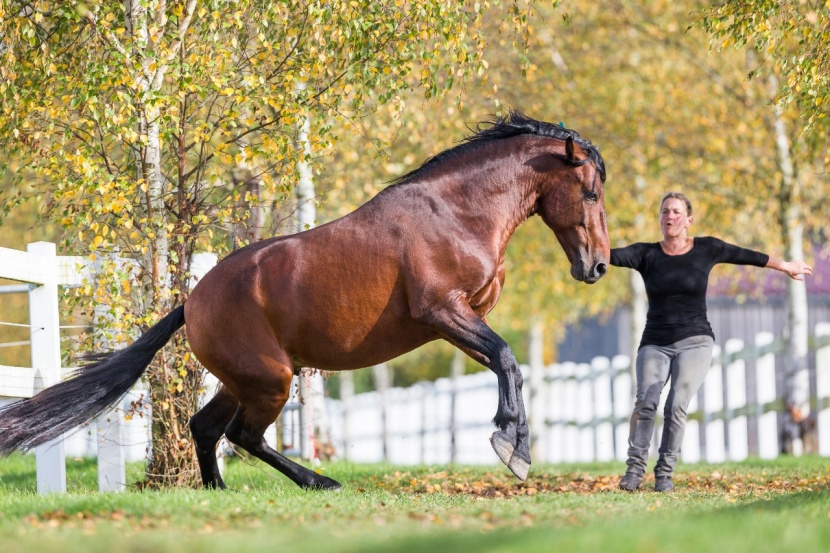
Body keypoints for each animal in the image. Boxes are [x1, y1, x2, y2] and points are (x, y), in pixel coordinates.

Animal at [0, 110, 609, 490]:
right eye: (590, 191)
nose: (598, 265)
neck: (456, 212)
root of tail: (190, 301)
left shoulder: (460, 319)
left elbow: (510, 365)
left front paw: (517, 448)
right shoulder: (443, 311)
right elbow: (507, 359)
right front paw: (513, 450)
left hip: (245, 379)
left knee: (206, 428)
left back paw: (219, 493)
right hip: (272, 379)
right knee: (242, 435)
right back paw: (321, 481)